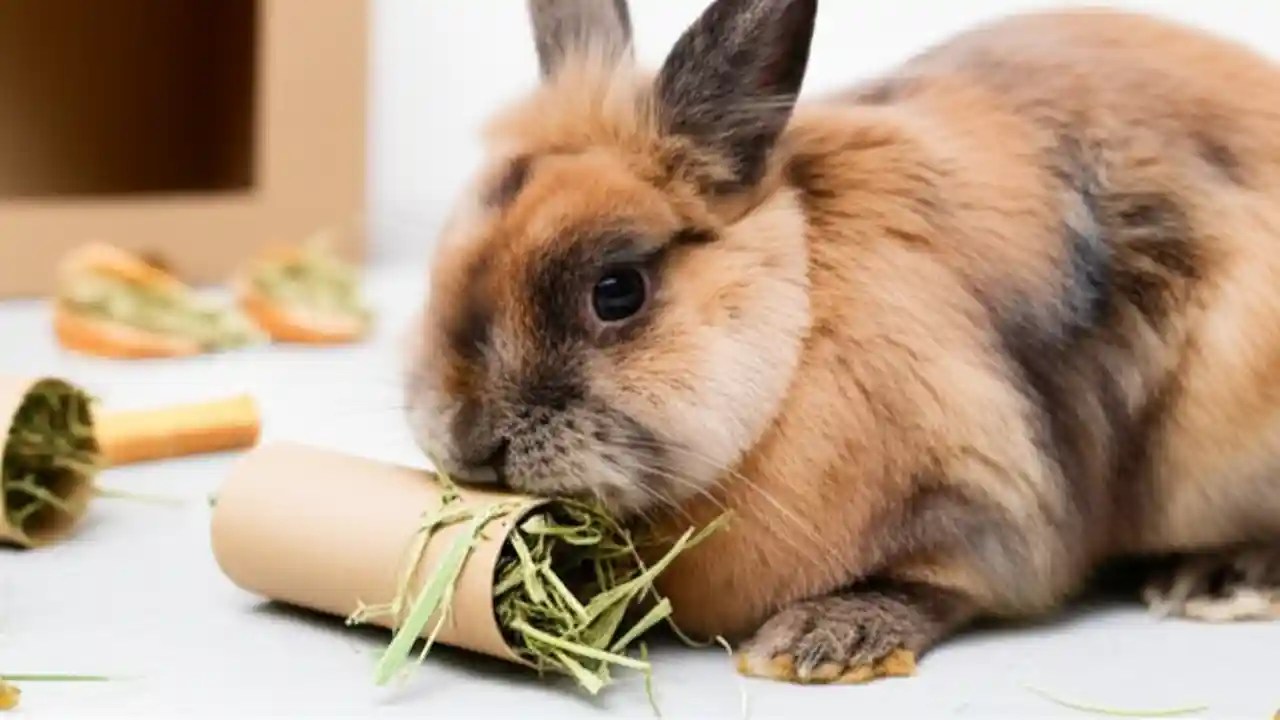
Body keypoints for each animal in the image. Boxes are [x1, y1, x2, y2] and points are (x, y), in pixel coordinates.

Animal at [406, 0, 1280, 684]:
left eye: (617, 291)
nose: (470, 441)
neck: (797, 338)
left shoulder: (990, 496)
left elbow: (941, 584)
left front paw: (824, 640)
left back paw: (1216, 583)